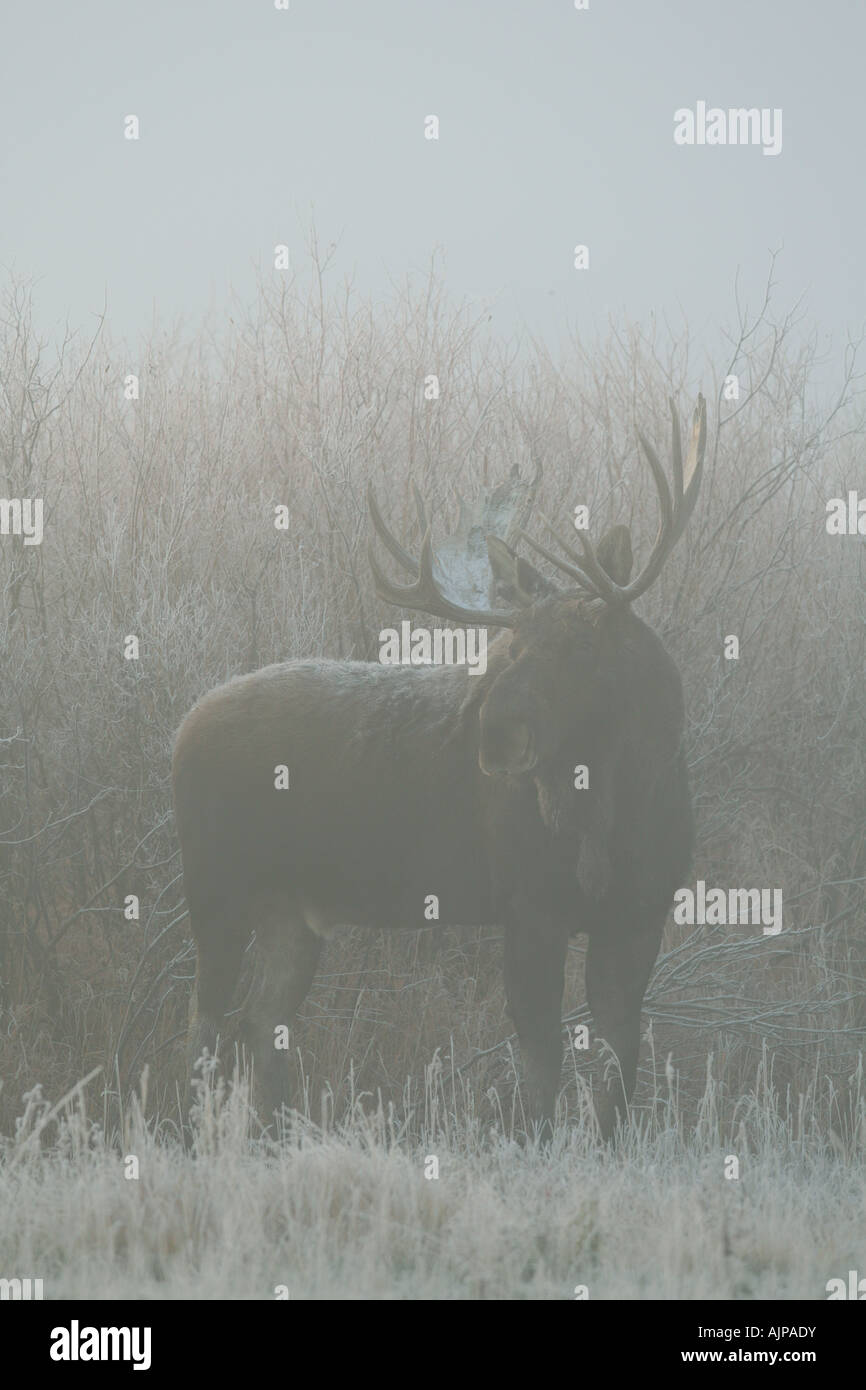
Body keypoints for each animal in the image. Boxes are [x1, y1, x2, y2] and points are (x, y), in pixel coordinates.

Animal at [173, 395, 706, 1142]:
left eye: (580, 641)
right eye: (513, 645)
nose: (492, 731)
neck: (619, 806)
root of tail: (180, 729)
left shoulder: (640, 913)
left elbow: (619, 1066)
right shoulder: (529, 906)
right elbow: (540, 1061)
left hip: (293, 909)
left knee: (261, 1021)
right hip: (215, 885)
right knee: (205, 1024)